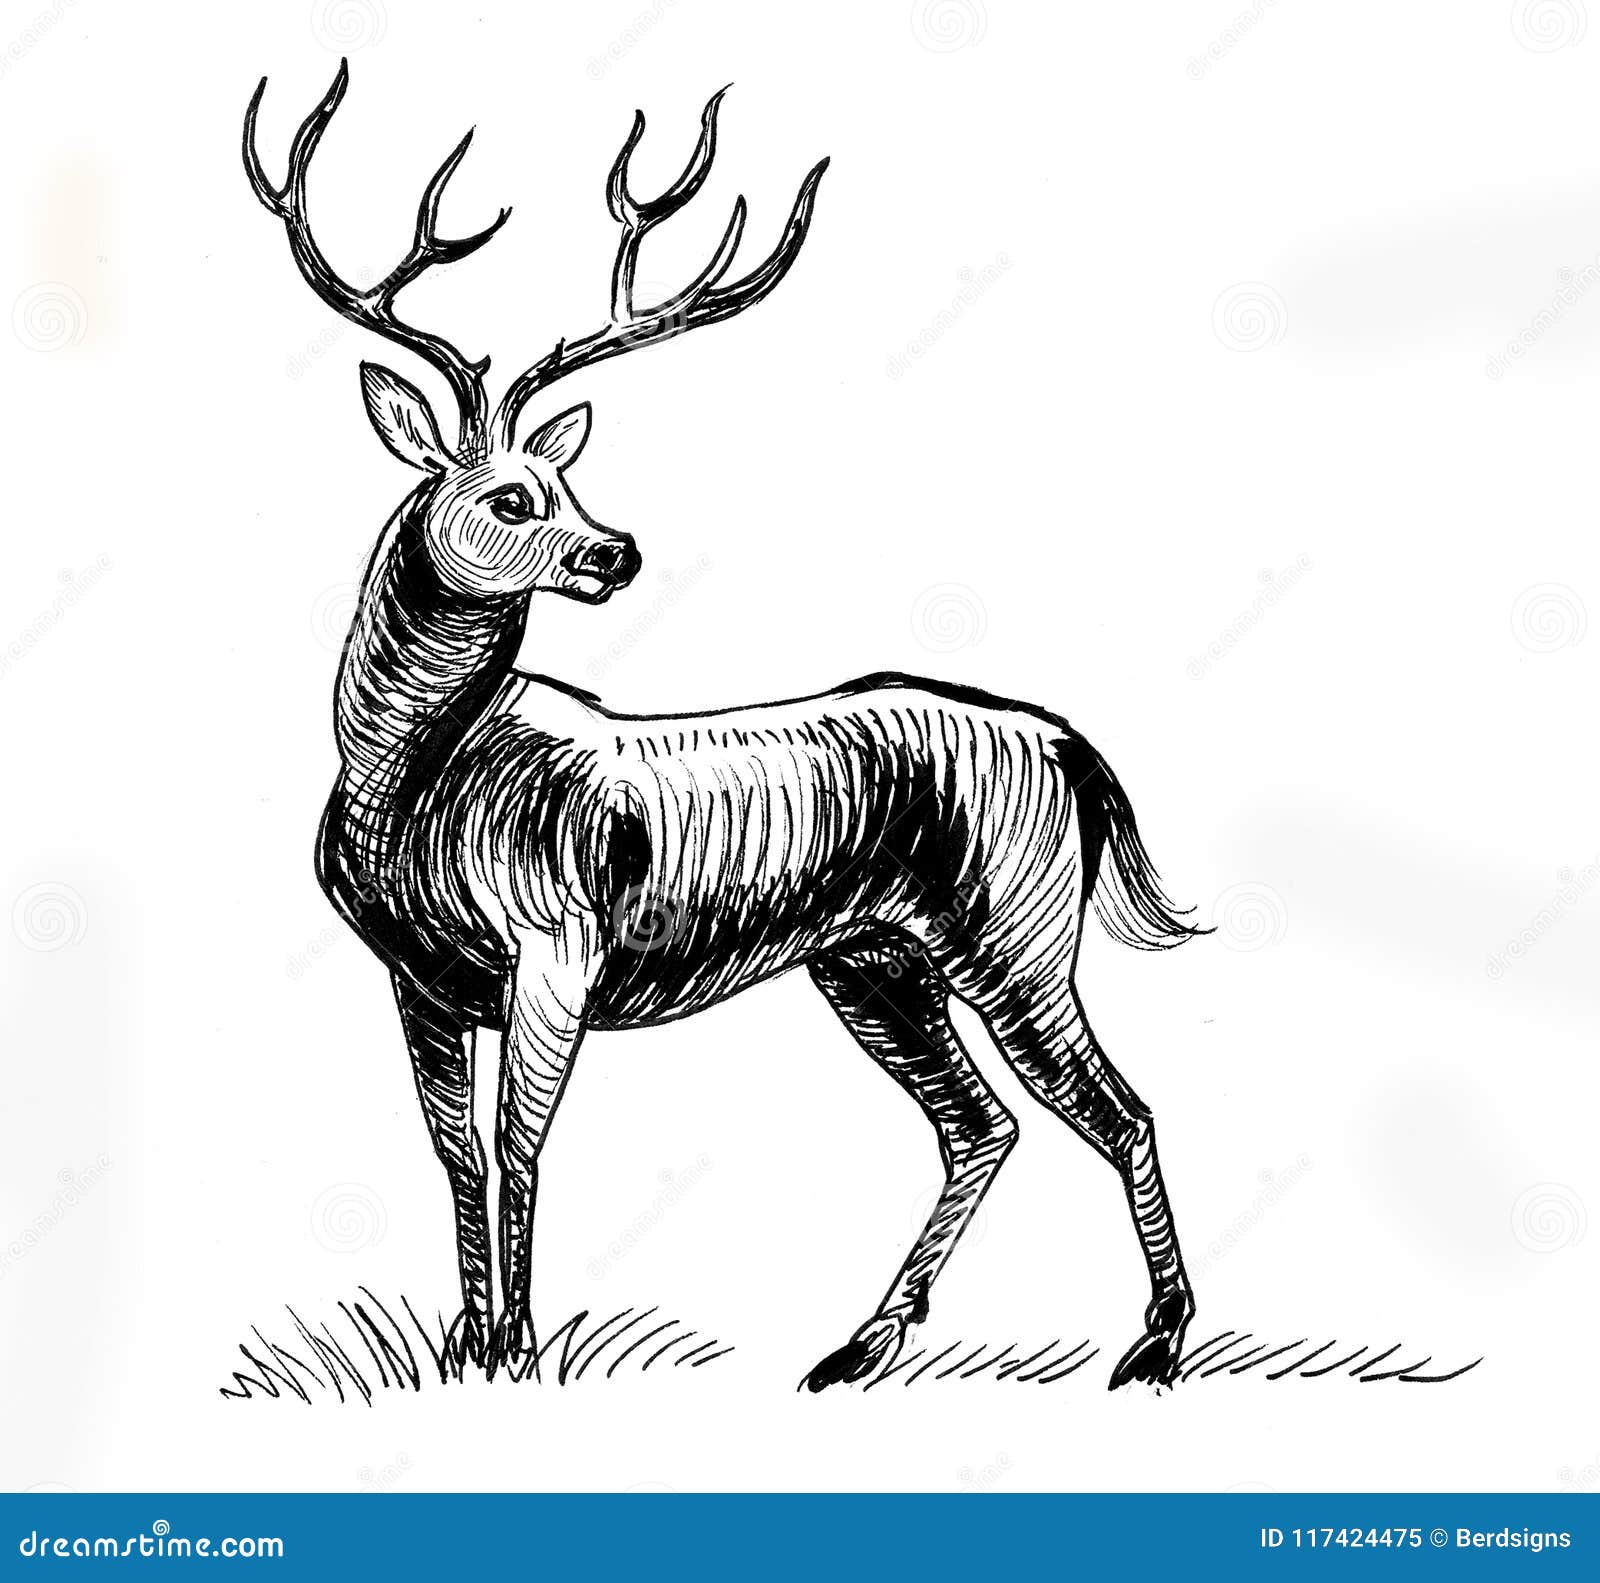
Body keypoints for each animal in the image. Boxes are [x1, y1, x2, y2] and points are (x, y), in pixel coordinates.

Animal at [244, 60, 1206, 1392]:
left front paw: (519, 1346)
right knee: (980, 1120)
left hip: (1013, 934)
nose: (614, 550)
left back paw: (1154, 1343)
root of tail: (1069, 747)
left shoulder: (555, 949)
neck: (411, 793)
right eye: (512, 495)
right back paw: (857, 1345)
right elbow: (455, 1150)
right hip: (874, 961)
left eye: (570, 483)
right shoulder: (418, 977)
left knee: (1118, 1107)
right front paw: (462, 1340)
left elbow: (523, 1142)